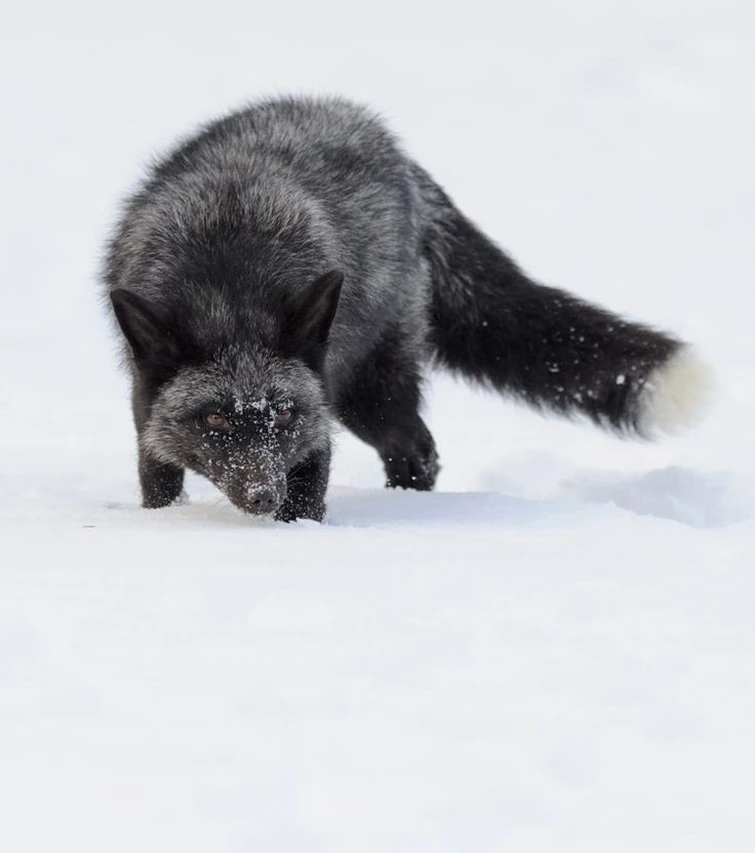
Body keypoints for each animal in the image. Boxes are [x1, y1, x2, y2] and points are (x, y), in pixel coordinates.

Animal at [103, 95, 710, 522]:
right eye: (212, 418)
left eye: (284, 413)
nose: (263, 495)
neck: (228, 287)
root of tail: (398, 154)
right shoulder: (146, 414)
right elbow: (158, 485)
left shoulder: (317, 419)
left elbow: (309, 500)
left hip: (366, 393)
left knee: (419, 450)